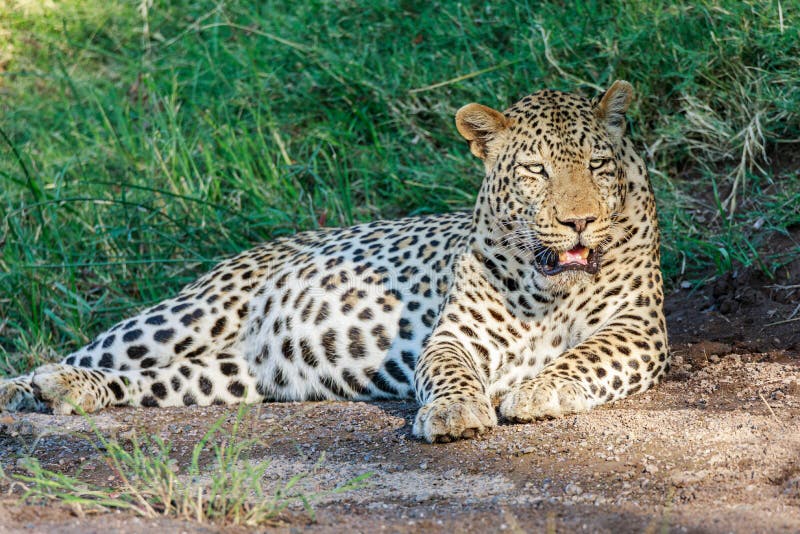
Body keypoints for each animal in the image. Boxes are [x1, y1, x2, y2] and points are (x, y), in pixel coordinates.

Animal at [0, 80, 669, 443]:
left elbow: (584, 354)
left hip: (236, 375)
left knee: (149, 381)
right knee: (96, 352)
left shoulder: (639, 329)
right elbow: (450, 371)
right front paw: (455, 412)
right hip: (187, 314)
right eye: (536, 170)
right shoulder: (455, 335)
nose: (579, 221)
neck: (548, 284)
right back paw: (31, 386)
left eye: (598, 165)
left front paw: (537, 390)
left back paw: (66, 392)